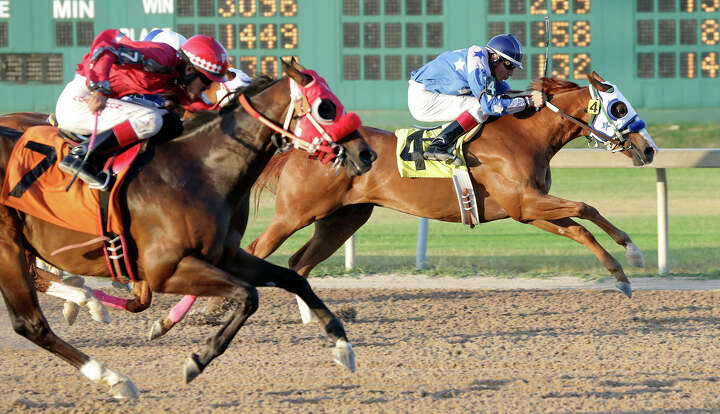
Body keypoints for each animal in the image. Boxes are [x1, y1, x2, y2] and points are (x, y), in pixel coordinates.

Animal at [0, 59, 376, 399]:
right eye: (326, 107)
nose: (367, 154)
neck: (199, 170)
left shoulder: (226, 255)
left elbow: (293, 278)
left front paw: (343, 346)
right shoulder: (164, 270)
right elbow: (248, 296)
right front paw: (198, 358)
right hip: (9, 247)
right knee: (30, 323)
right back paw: (113, 374)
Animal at [240, 72, 657, 323]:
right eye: (619, 106)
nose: (649, 149)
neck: (523, 135)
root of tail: (304, 146)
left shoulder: (526, 208)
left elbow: (579, 229)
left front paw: (622, 274)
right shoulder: (525, 202)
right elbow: (588, 207)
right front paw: (632, 250)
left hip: (342, 219)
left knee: (299, 262)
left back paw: (315, 318)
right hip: (295, 213)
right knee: (258, 249)